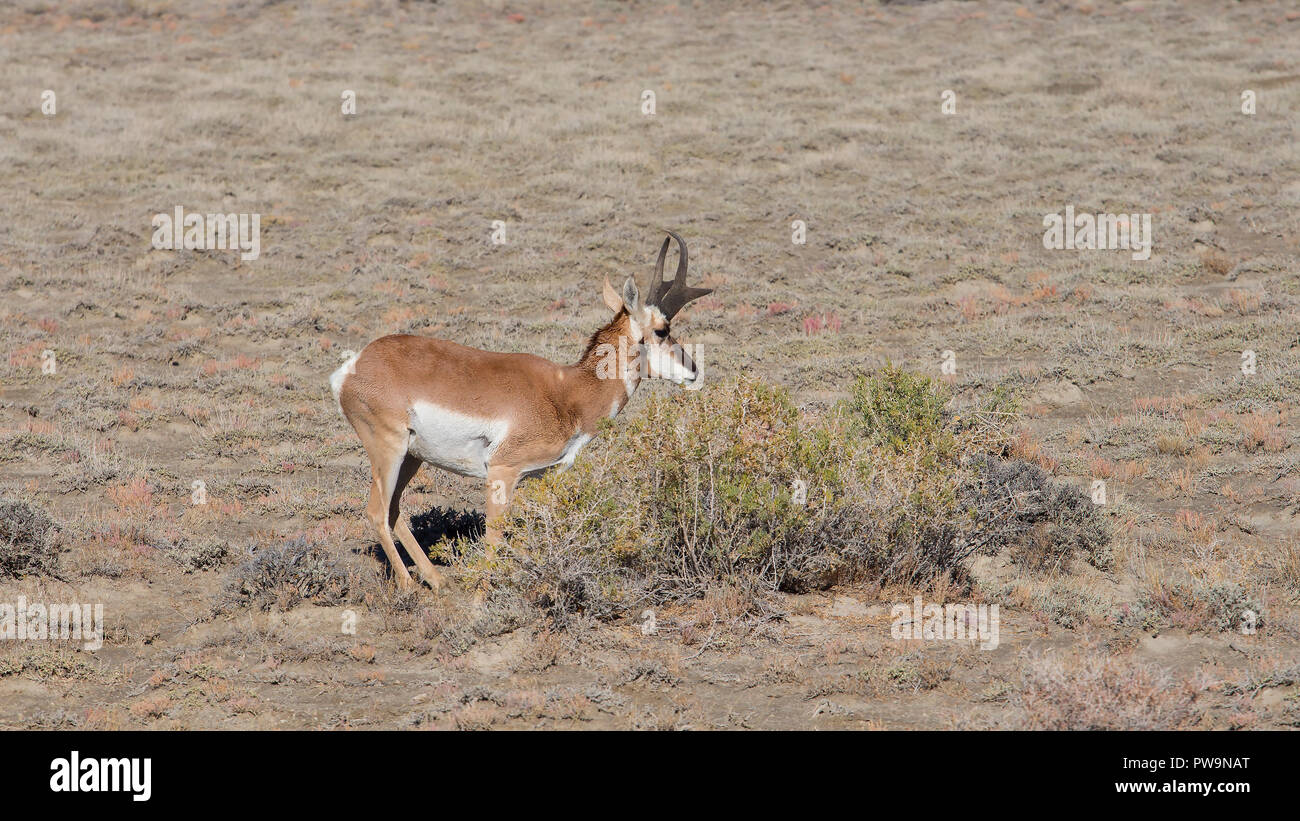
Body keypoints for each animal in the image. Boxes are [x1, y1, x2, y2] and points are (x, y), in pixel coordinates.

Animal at [331, 231, 712, 590]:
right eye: (661, 330)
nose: (694, 371)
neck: (566, 394)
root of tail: (355, 365)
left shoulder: (543, 476)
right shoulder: (502, 473)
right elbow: (493, 541)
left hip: (412, 457)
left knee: (394, 510)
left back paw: (438, 582)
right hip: (390, 451)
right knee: (376, 512)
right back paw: (411, 589)